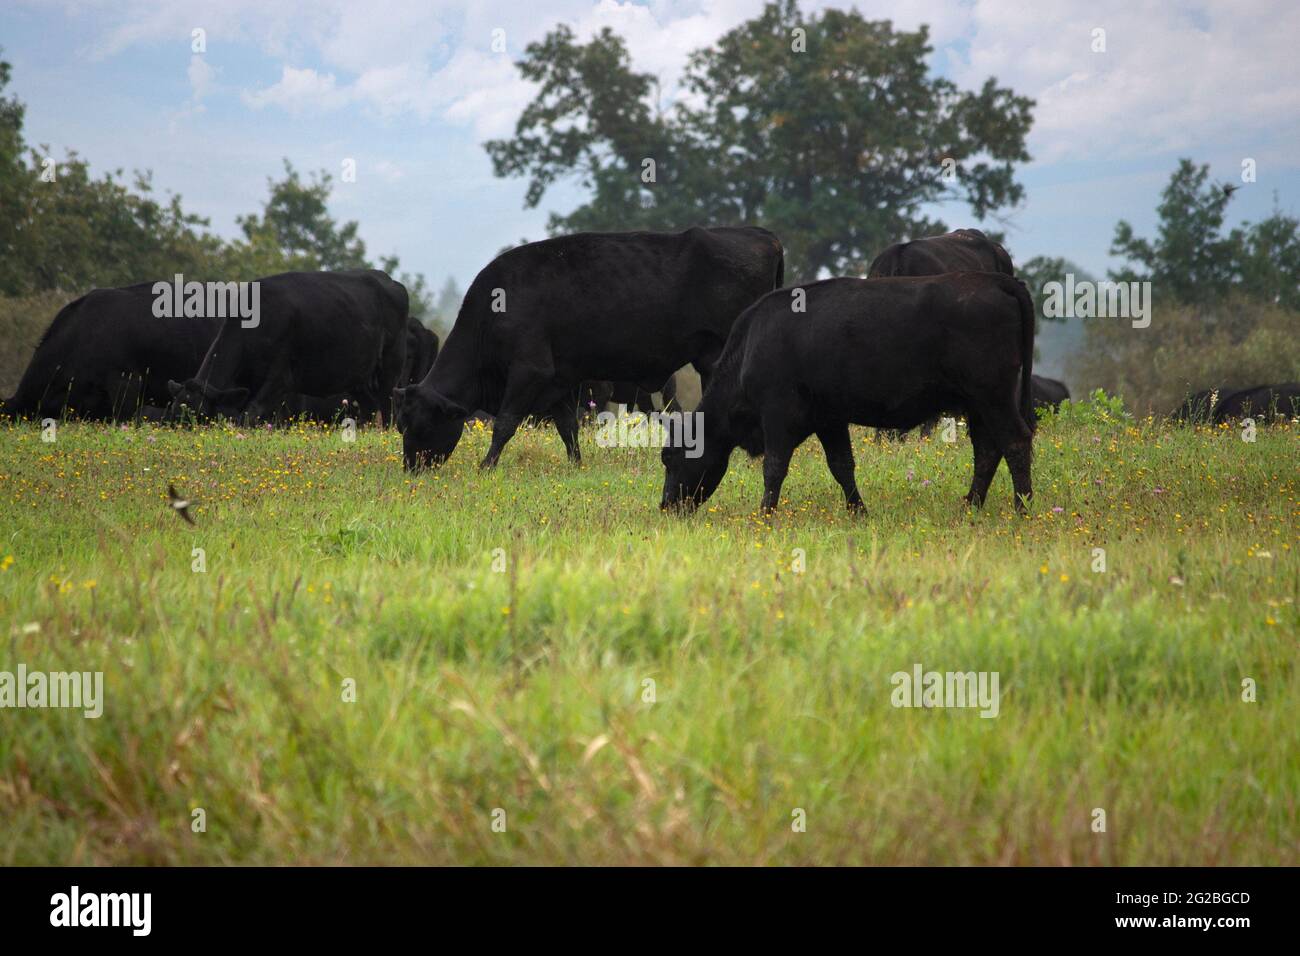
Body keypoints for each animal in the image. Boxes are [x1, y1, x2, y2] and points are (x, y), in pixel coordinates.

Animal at [166, 270, 408, 424]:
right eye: (174, 416)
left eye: (200, 416)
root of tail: (390, 280)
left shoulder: (280, 377)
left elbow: (251, 414)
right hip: (357, 375)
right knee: (370, 409)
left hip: (390, 366)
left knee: (387, 410)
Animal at [394, 226, 784, 470]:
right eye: (400, 424)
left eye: (419, 423)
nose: (411, 467)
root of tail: (762, 236)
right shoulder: (558, 382)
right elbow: (568, 427)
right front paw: (576, 464)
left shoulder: (529, 372)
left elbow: (504, 424)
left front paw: (486, 466)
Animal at [660, 272, 1036, 515]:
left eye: (670, 456)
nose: (666, 506)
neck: (751, 348)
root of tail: (995, 280)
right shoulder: (829, 420)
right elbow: (842, 465)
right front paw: (858, 511)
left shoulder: (778, 416)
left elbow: (774, 467)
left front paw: (765, 514)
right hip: (978, 404)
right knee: (987, 450)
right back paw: (971, 506)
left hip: (993, 396)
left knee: (1015, 441)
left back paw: (1022, 508)